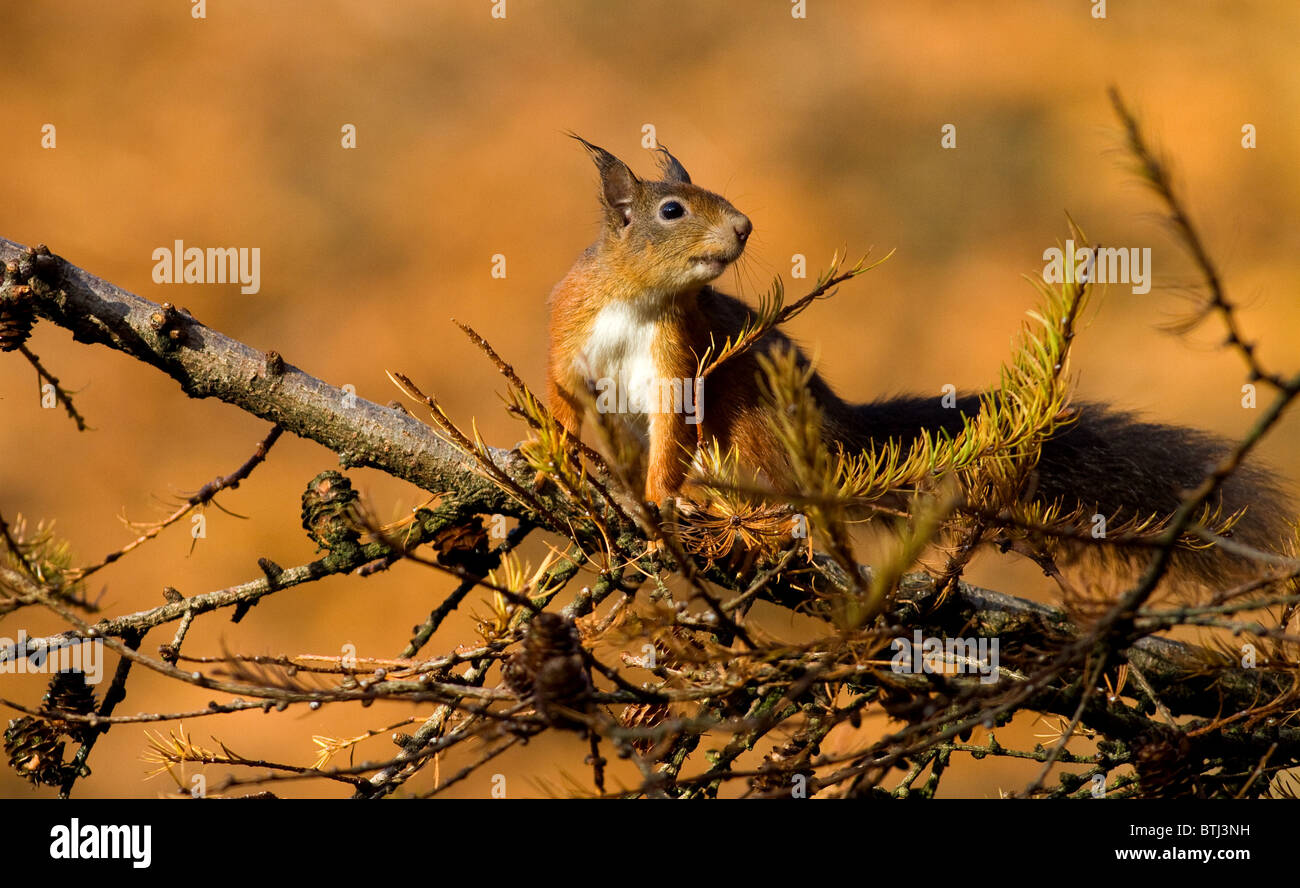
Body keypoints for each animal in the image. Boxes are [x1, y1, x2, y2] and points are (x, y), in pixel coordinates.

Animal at [545, 136, 1291, 584]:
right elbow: (561, 395)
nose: (743, 227)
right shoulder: (570, 329)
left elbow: (675, 428)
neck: (639, 298)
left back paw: (758, 528)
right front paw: (551, 459)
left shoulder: (678, 354)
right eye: (672, 209)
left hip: (755, 424)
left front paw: (657, 502)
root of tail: (834, 428)